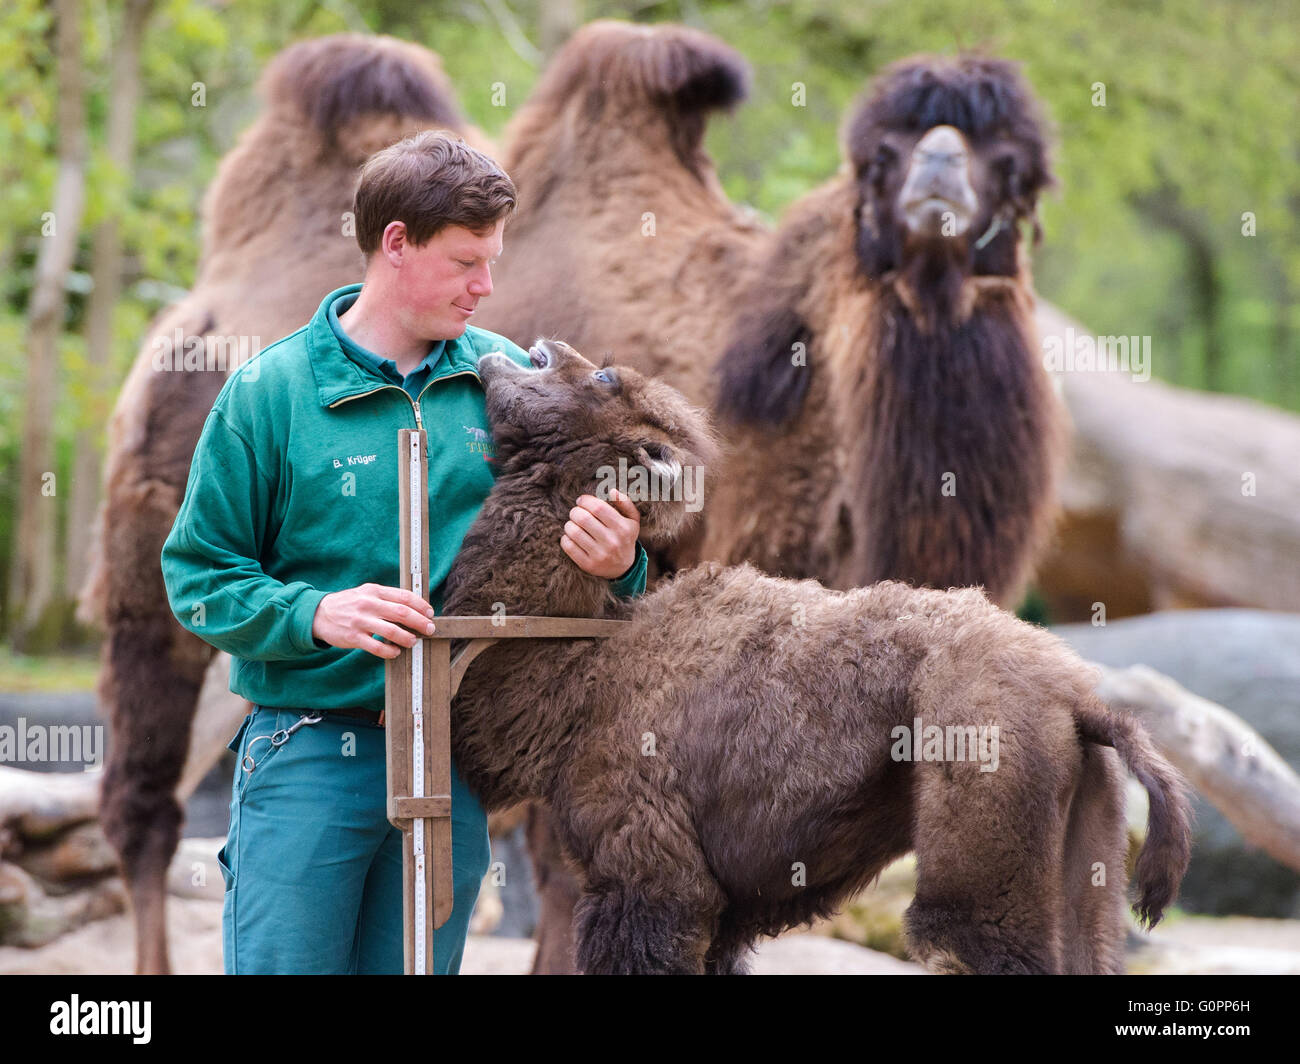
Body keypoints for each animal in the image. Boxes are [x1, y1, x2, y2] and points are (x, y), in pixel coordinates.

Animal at [441, 339, 1191, 974]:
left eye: (602, 379)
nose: (546, 344)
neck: (577, 673)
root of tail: (1080, 702)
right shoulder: (722, 912)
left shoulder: (647, 878)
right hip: (1086, 851)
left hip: (982, 843)